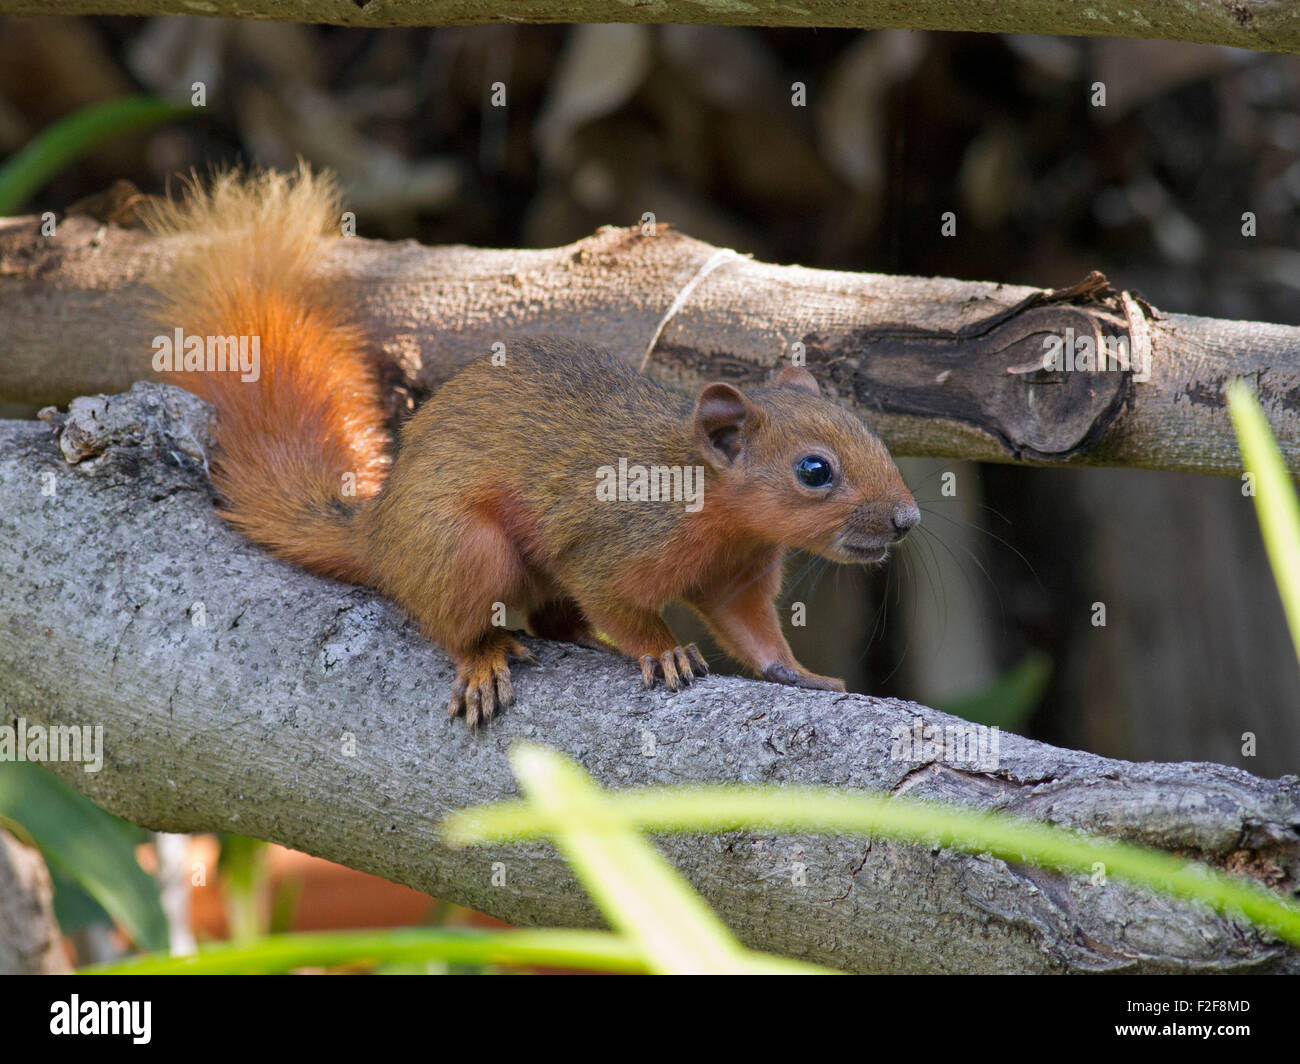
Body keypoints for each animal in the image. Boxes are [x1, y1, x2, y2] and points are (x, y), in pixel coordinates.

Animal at [144, 167, 920, 728]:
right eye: (814, 470)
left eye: (875, 437)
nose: (907, 519)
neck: (712, 500)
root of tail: (378, 533)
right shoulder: (613, 546)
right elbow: (620, 603)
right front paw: (664, 650)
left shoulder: (738, 576)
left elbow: (751, 630)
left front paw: (799, 672)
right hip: (462, 548)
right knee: (463, 623)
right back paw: (486, 658)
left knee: (551, 615)